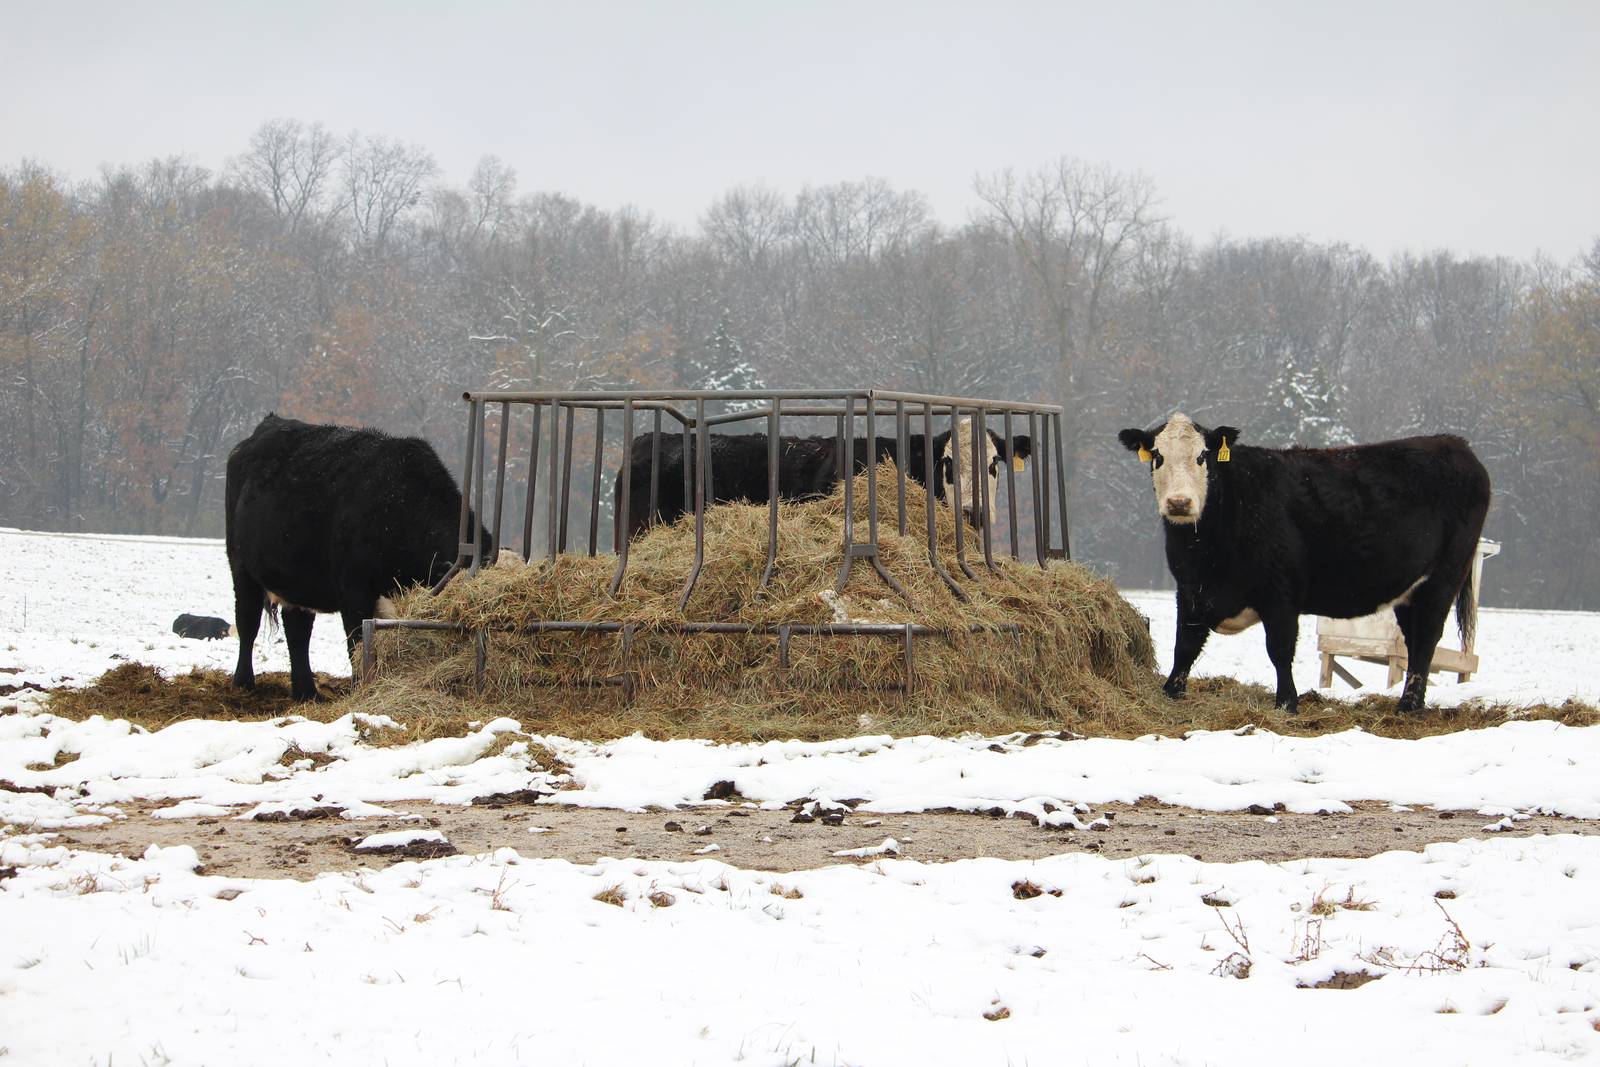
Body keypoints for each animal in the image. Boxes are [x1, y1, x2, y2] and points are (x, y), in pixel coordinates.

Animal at [225, 413, 489, 702]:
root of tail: (270, 423)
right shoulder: (355, 591)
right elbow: (357, 642)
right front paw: (360, 689)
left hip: (297, 579)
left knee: (297, 632)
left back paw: (307, 693)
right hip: (241, 566)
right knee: (247, 620)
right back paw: (244, 683)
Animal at [1117, 413, 1491, 714]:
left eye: (1201, 456)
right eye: (1158, 456)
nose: (1179, 502)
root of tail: (1454, 444)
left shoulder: (1280, 593)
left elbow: (1280, 650)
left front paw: (1287, 702)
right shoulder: (1190, 589)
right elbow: (1185, 645)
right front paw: (1171, 691)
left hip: (1443, 578)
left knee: (1426, 638)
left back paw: (1408, 706)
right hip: (1410, 590)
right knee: (1414, 641)